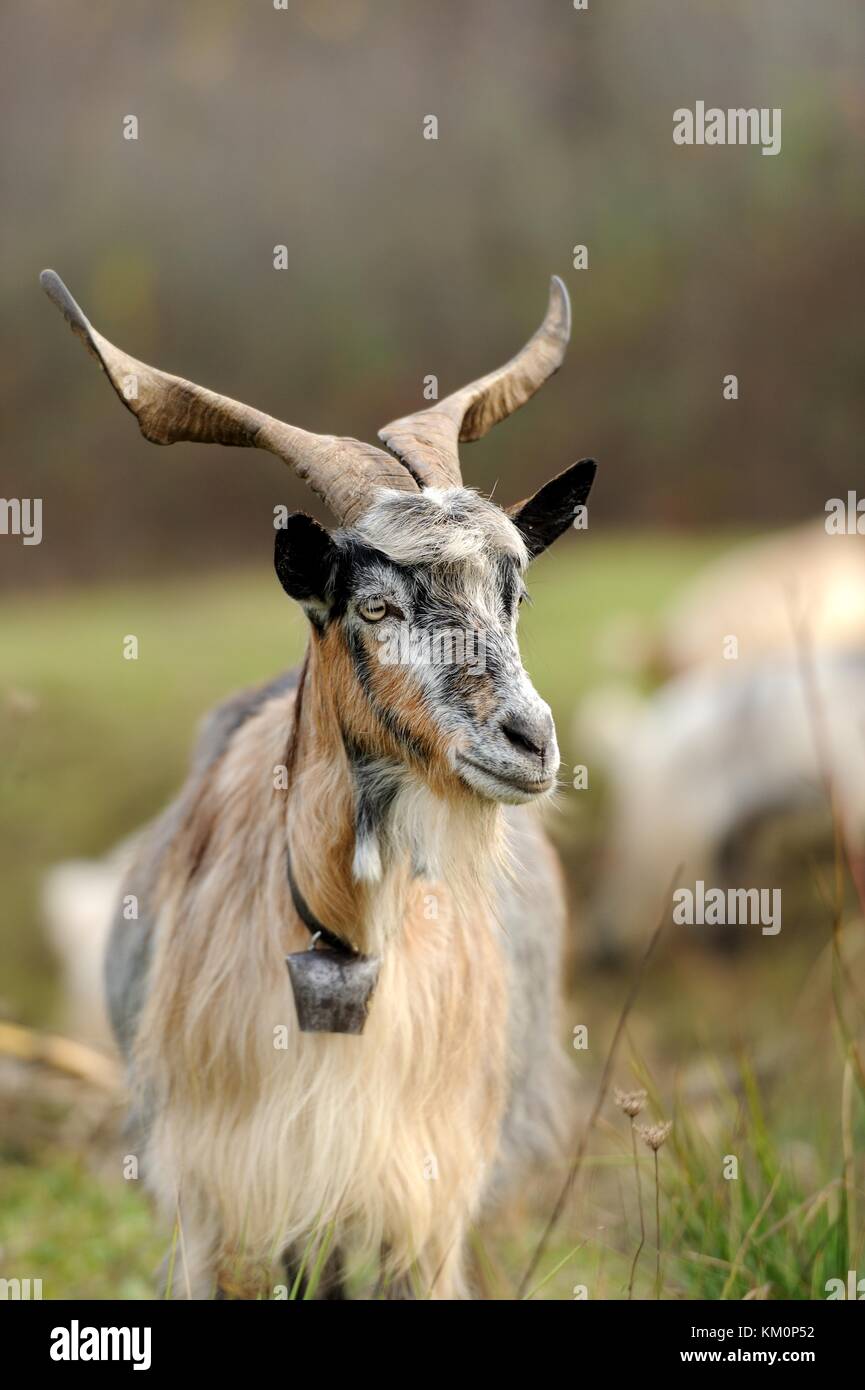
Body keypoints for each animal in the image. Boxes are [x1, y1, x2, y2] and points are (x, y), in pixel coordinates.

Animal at [41, 269, 596, 1299]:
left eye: (514, 594)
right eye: (372, 606)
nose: (529, 742)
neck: (342, 938)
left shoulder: (422, 1207)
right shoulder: (216, 1206)